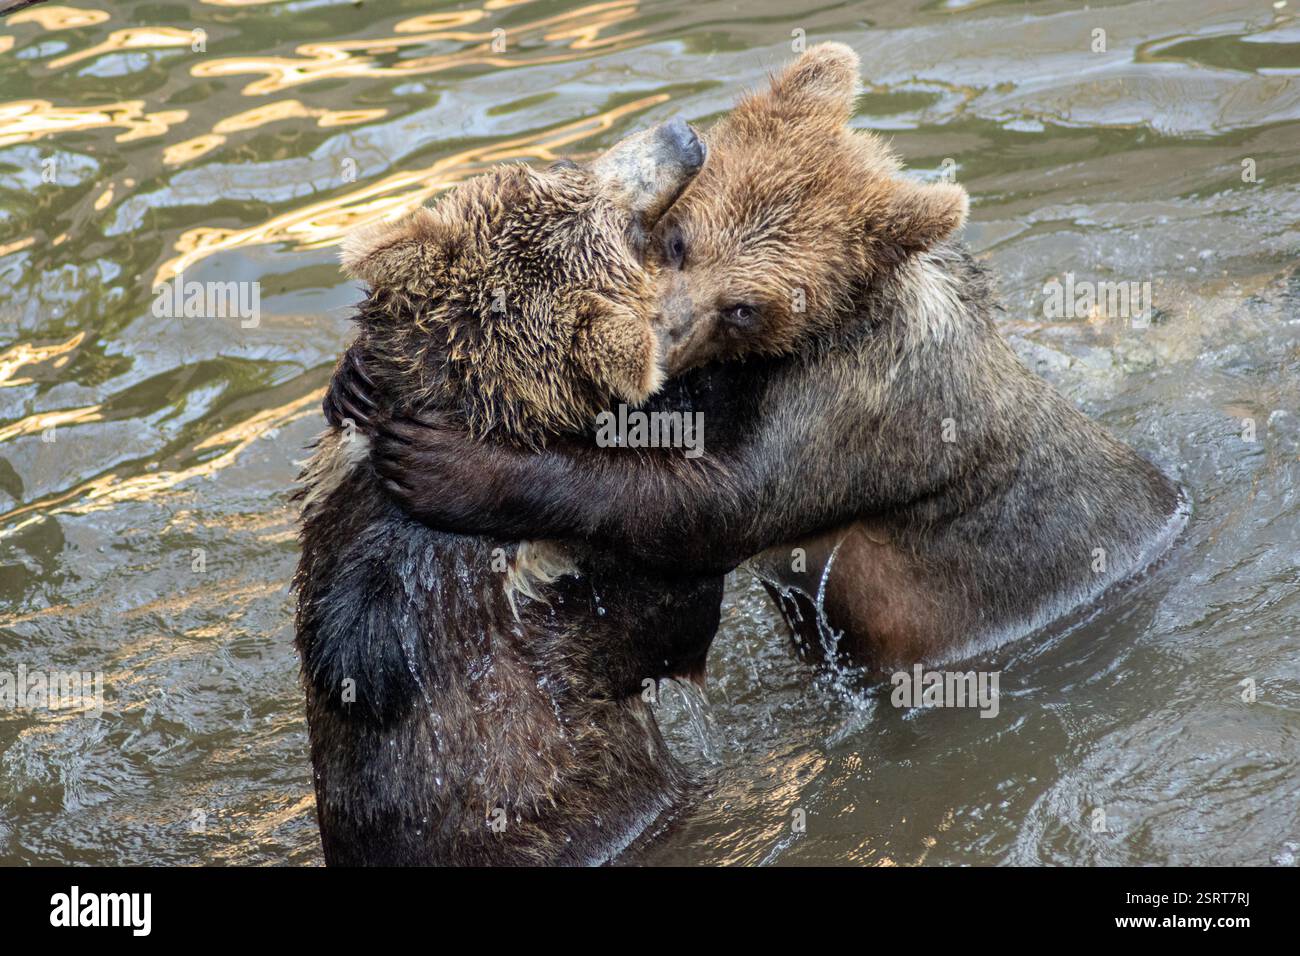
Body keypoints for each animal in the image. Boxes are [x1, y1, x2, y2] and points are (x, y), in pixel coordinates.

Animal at [358, 42, 1187, 674]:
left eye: (745, 306)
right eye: (679, 240)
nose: (657, 339)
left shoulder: (852, 407)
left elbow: (713, 503)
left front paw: (441, 461)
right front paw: (365, 385)